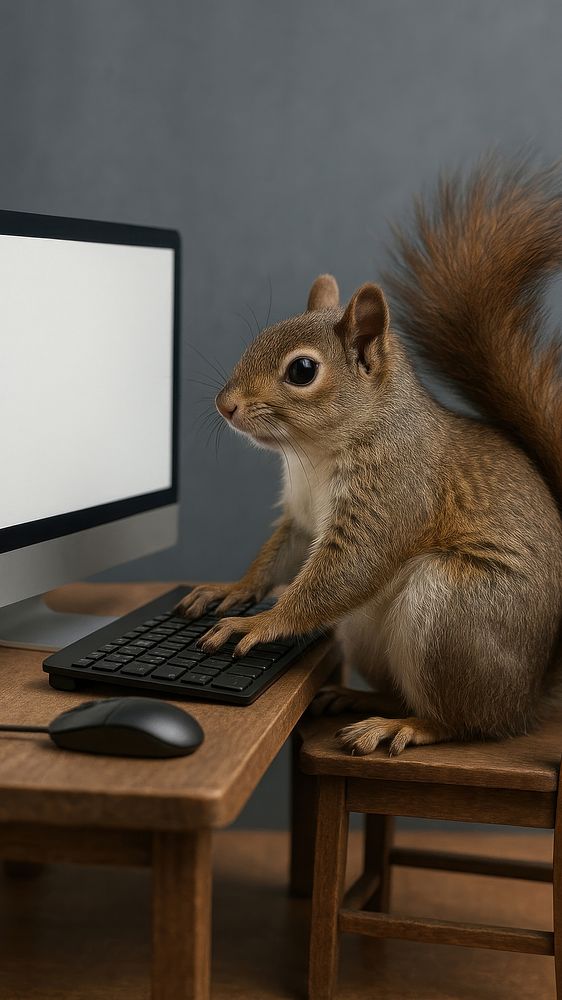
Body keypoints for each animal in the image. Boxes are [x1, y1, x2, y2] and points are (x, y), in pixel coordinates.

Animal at [178, 157, 562, 756]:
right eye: (258, 338)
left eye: (303, 370)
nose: (225, 404)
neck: (313, 454)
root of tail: (528, 695)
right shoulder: (302, 513)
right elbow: (280, 554)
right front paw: (232, 591)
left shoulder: (394, 490)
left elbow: (347, 569)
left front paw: (259, 624)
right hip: (366, 633)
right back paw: (360, 699)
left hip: (452, 614)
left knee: (464, 721)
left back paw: (404, 726)